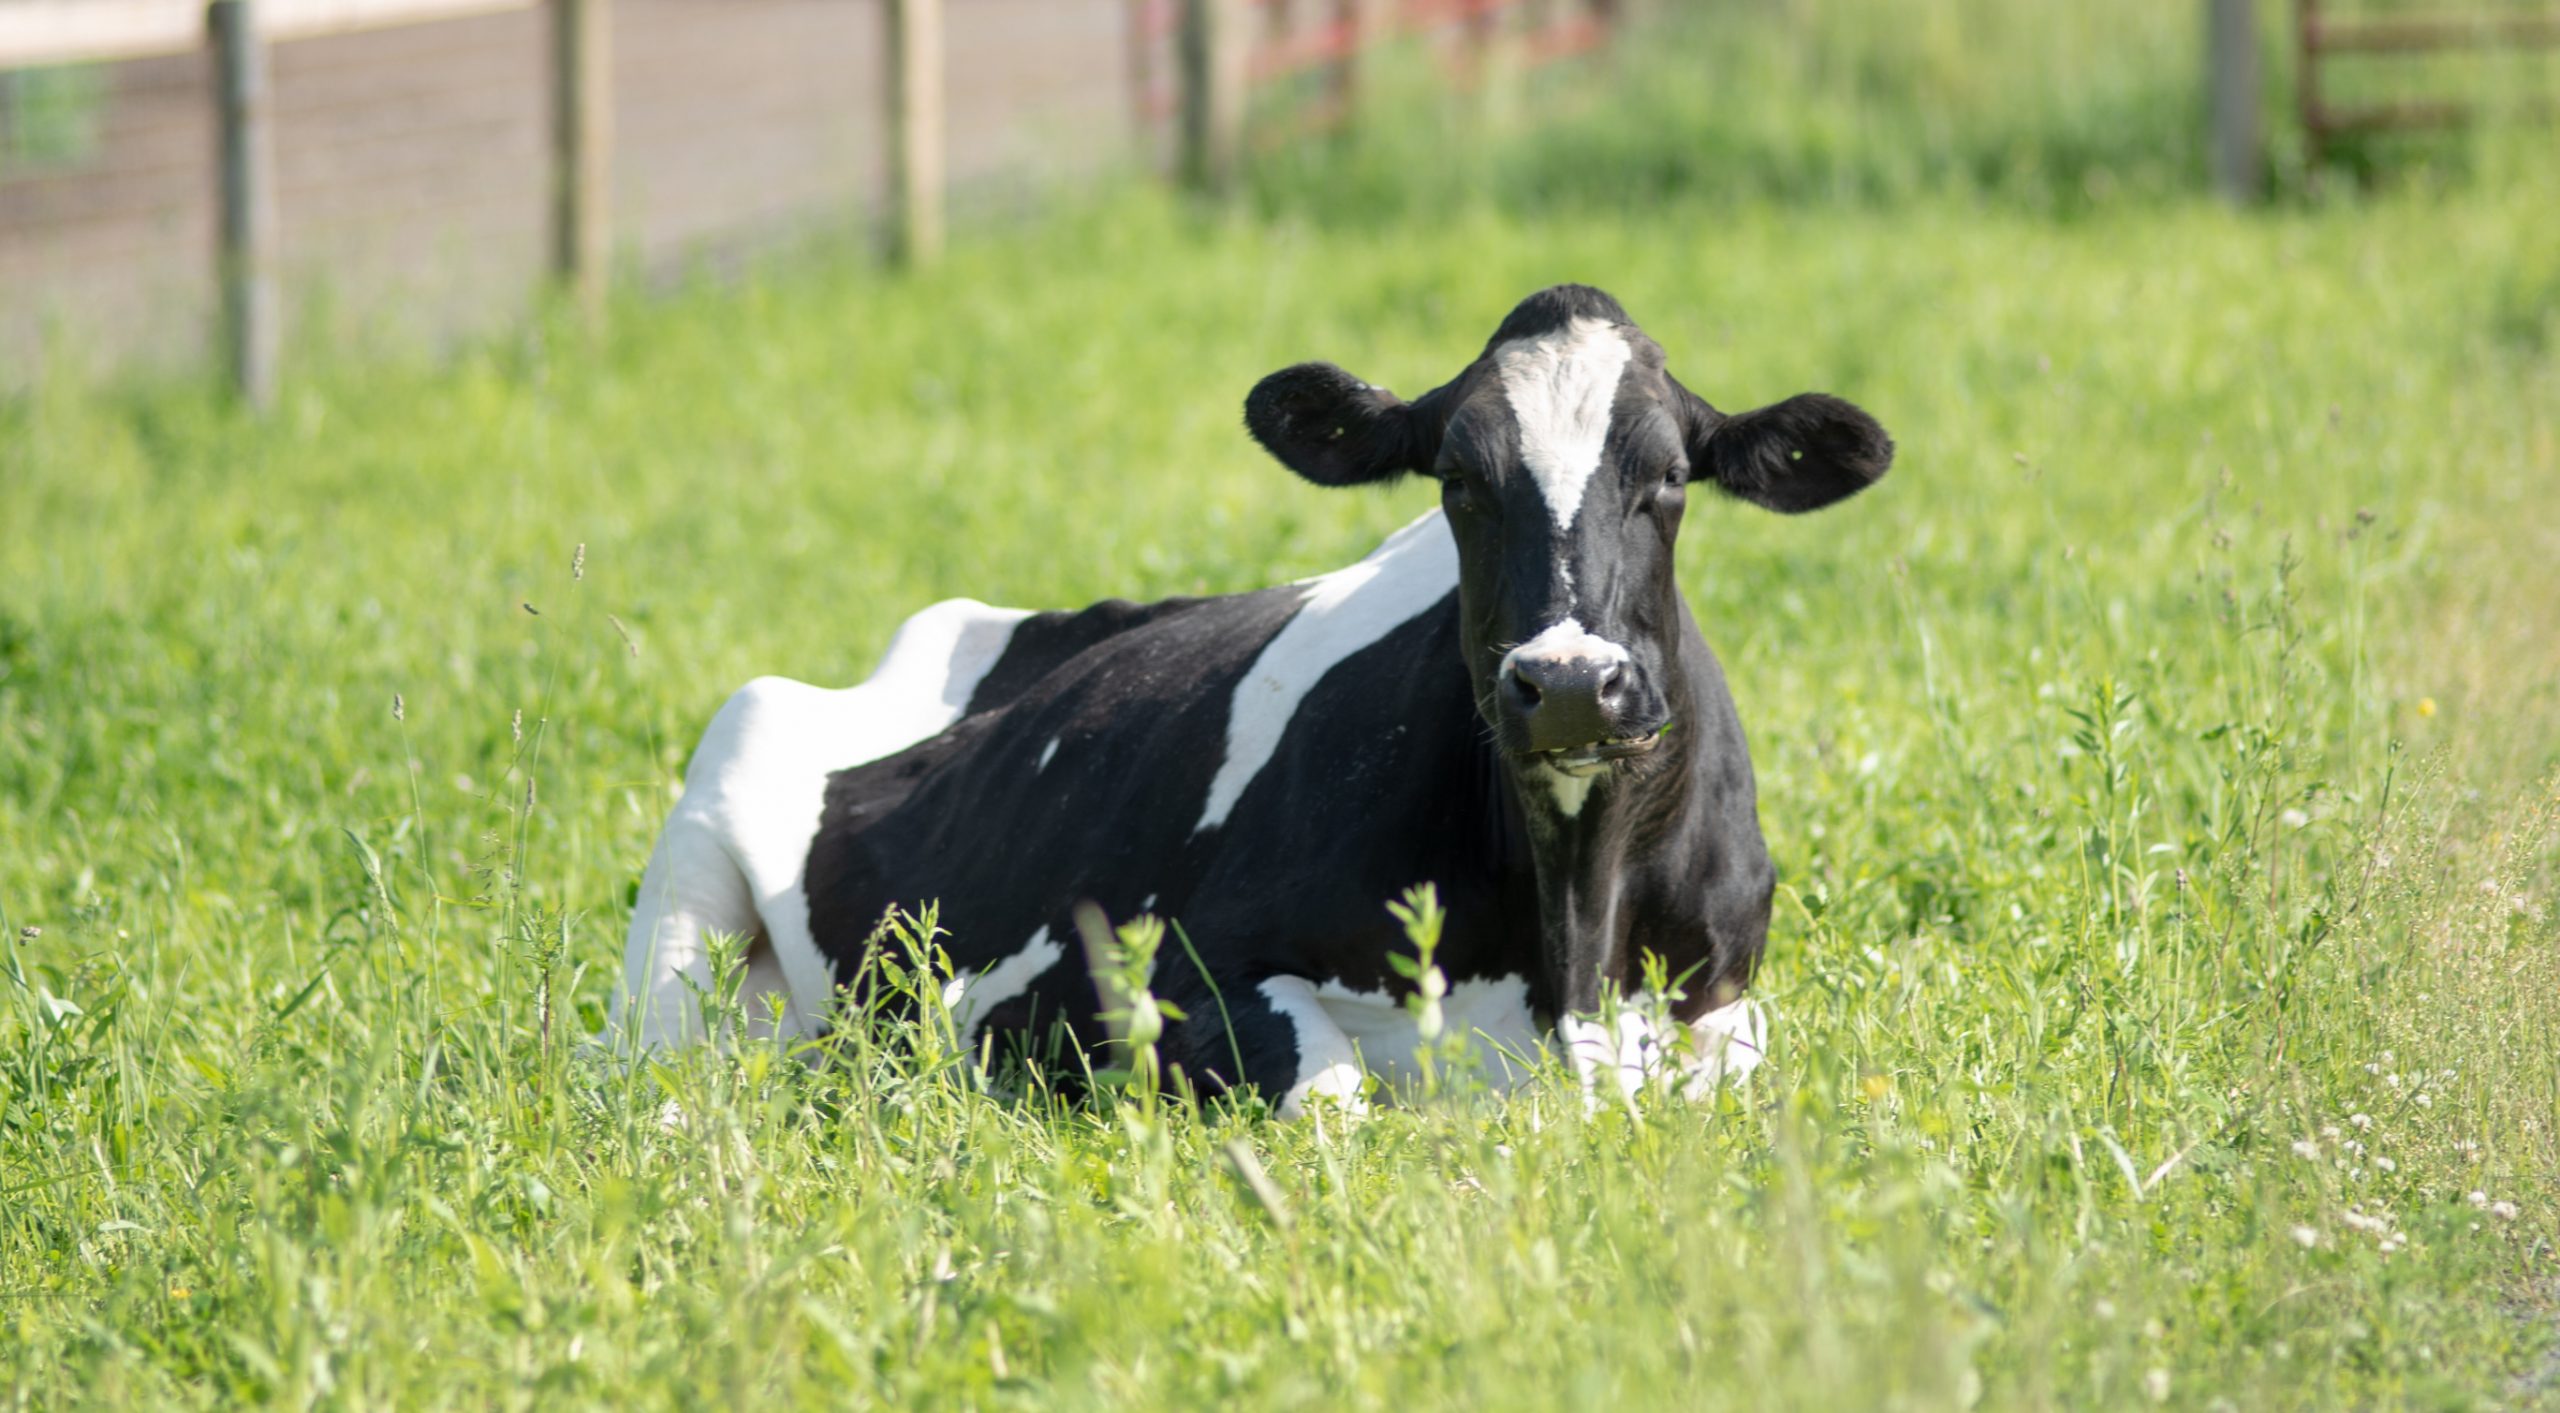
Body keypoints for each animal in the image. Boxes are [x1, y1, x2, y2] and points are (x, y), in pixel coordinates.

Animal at [614, 284, 1892, 1114]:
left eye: (1669, 478)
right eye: (1456, 479)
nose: (1570, 682)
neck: (1569, 948)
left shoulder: (1725, 999)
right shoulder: (1170, 981)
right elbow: (1331, 1095)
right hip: (693, 876)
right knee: (657, 1076)